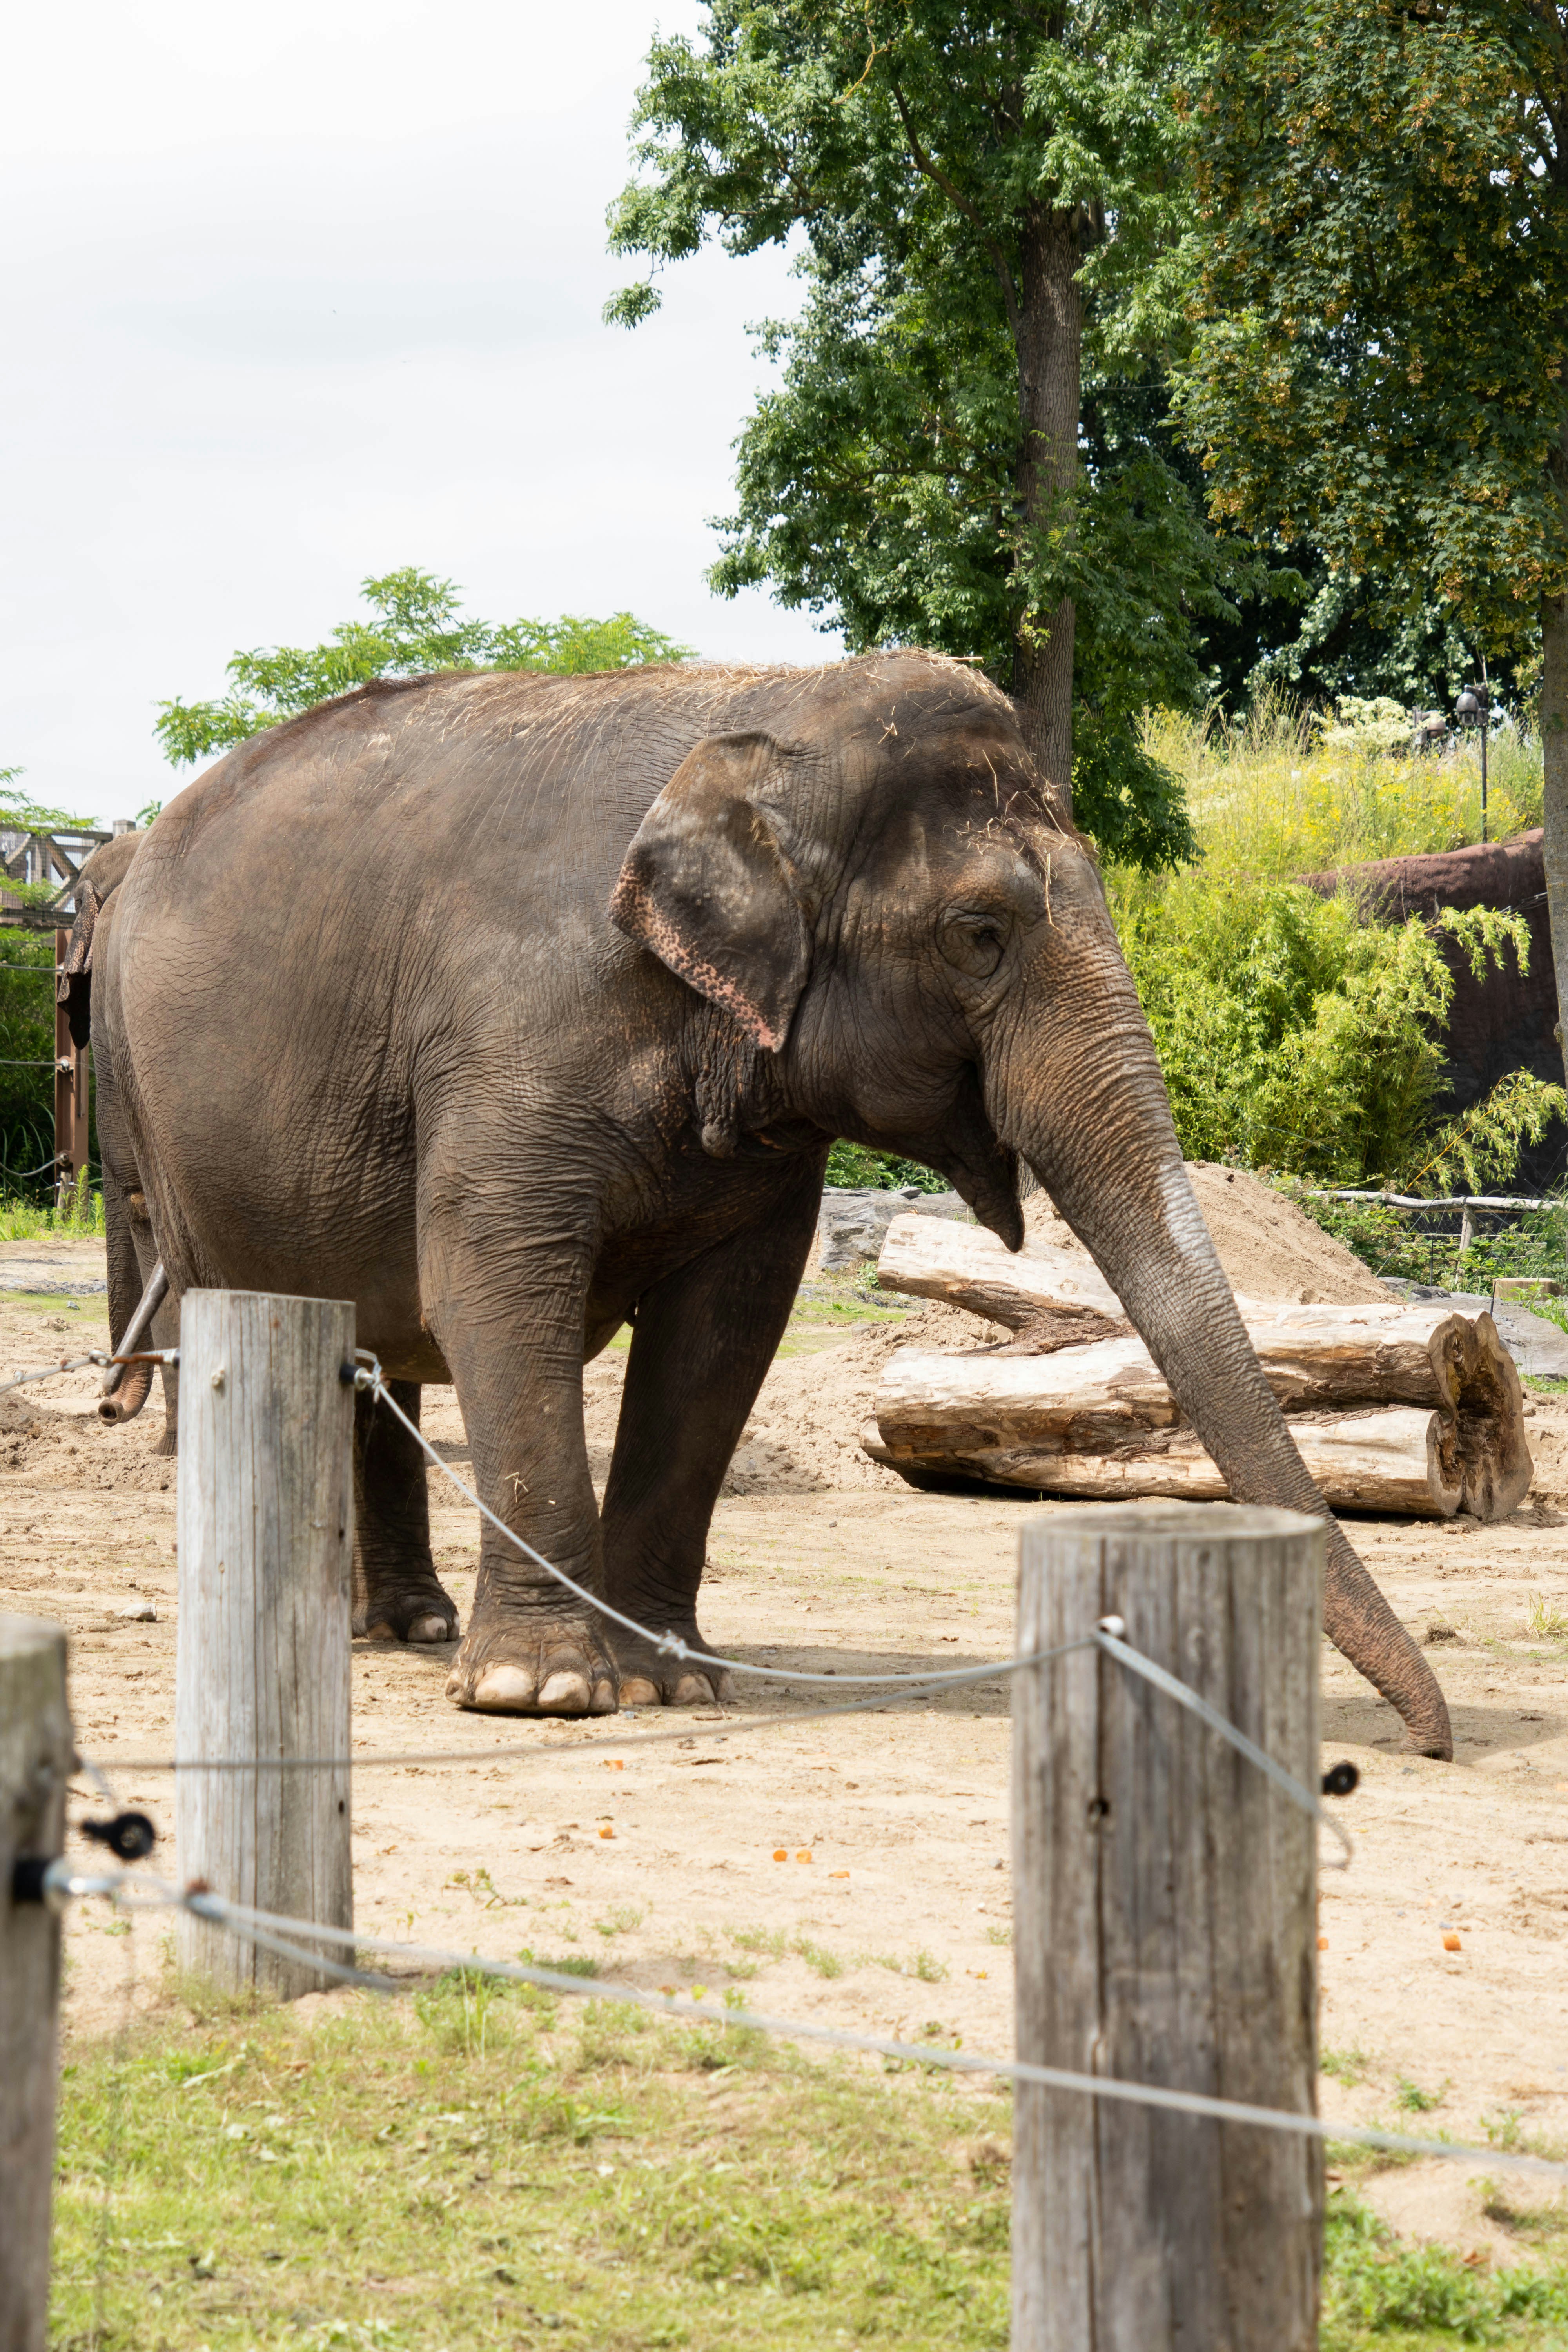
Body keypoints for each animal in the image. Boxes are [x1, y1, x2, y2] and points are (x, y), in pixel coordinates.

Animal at [95, 651, 1452, 1755]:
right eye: (979, 933)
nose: (1427, 1740)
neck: (772, 714)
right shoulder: (511, 1035)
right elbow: (496, 1284)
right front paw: (546, 1695)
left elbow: (728, 1328)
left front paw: (673, 1682)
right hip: (161, 1115)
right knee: (266, 1316)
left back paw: (411, 1627)